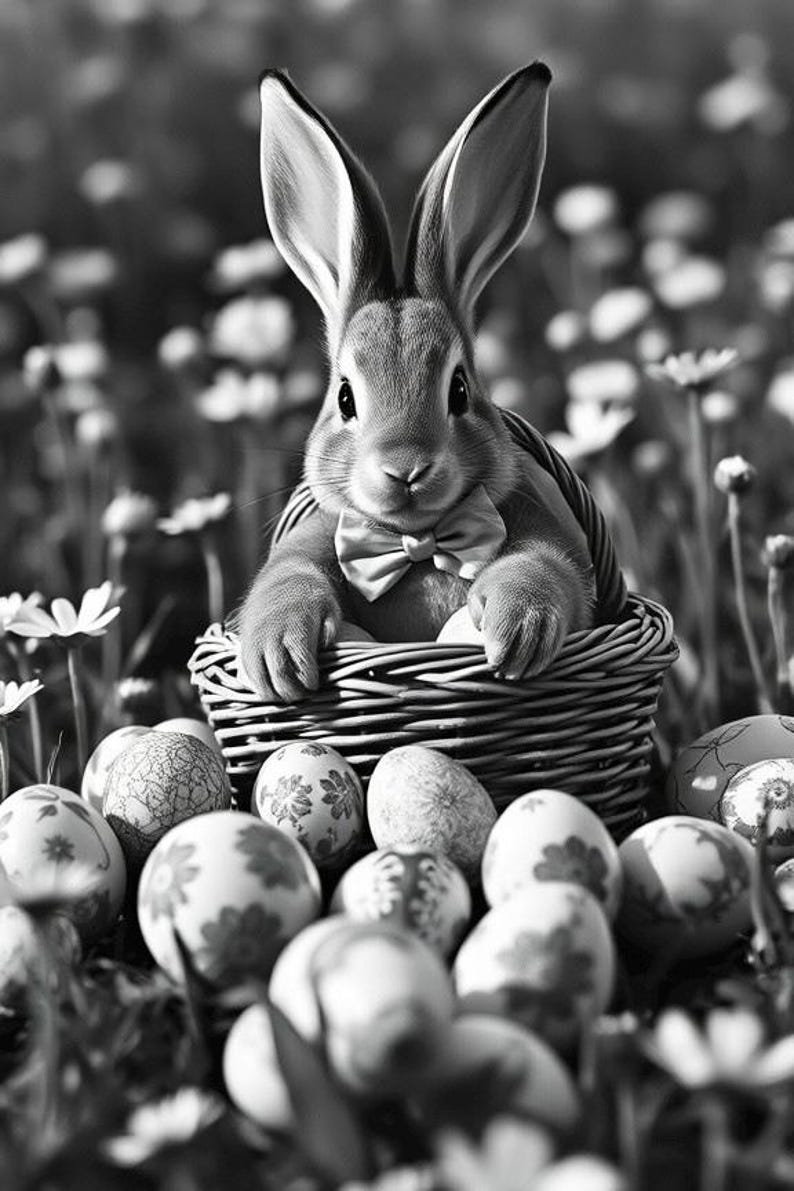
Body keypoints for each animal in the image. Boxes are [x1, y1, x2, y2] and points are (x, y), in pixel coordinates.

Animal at [237, 63, 596, 703]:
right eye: (345, 398)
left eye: (459, 391)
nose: (405, 468)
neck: (417, 543)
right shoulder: (318, 538)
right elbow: (289, 574)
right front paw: (277, 655)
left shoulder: (541, 532)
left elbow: (543, 566)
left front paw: (516, 633)